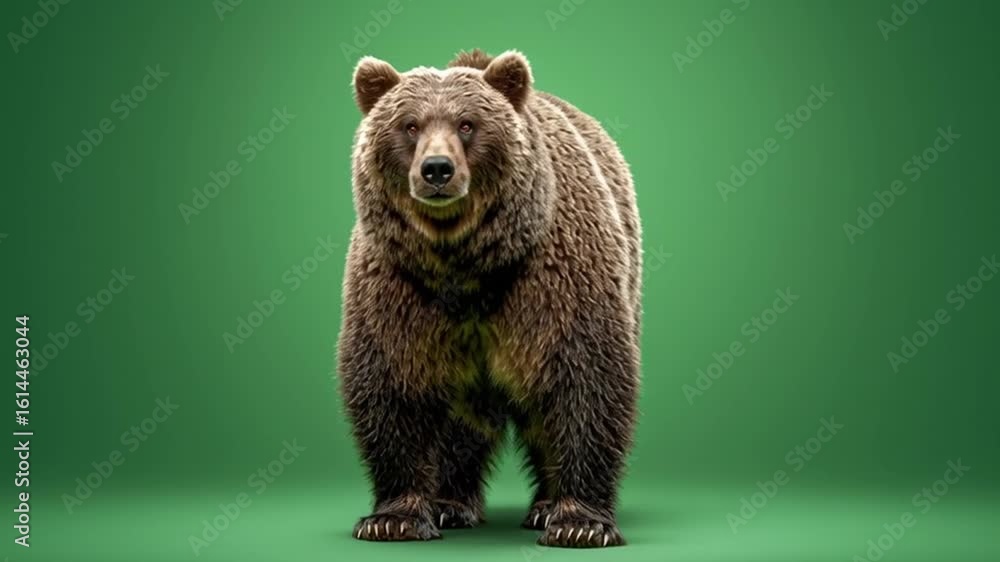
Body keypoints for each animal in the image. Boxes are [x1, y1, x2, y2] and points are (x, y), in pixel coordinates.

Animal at [338, 49, 641, 548]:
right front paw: (394, 518)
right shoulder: (399, 287)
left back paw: (543, 508)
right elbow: (393, 382)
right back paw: (449, 504)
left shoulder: (553, 280)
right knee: (462, 421)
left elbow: (585, 382)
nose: (437, 169)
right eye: (409, 125)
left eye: (468, 124)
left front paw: (580, 523)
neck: (464, 263)